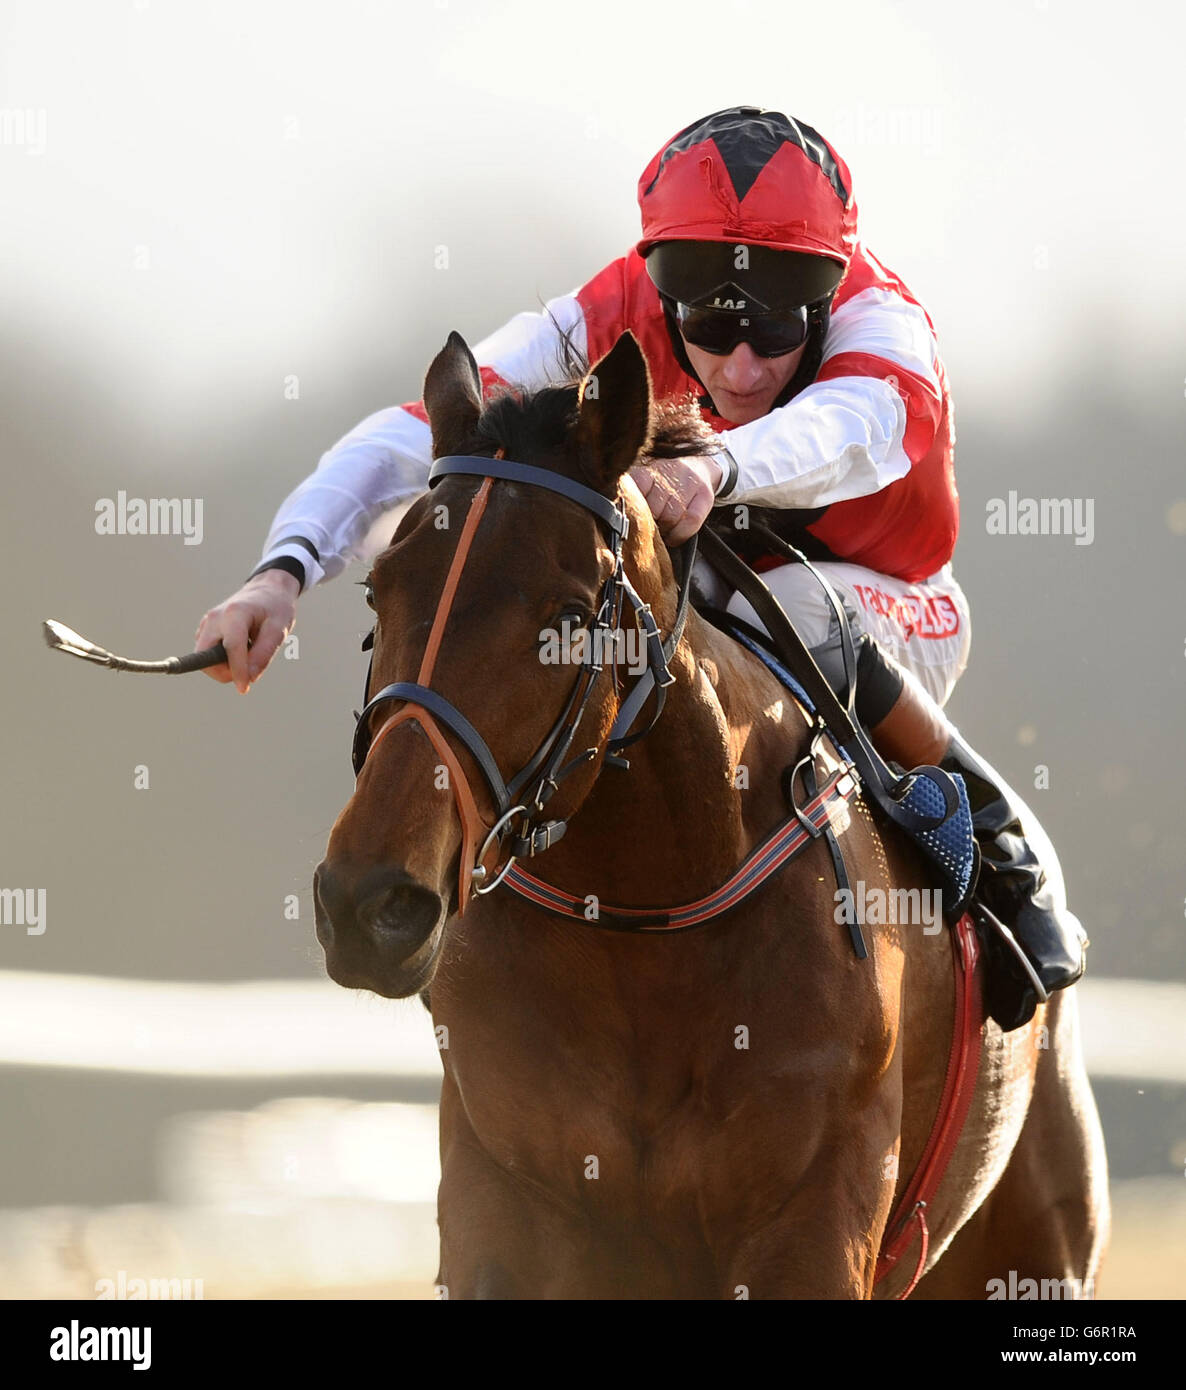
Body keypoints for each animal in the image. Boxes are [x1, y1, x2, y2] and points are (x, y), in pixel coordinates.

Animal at [313, 329, 1109, 1299]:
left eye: (569, 617)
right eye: (378, 591)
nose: (370, 902)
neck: (640, 925)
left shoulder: (813, 1224)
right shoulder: (502, 1199)